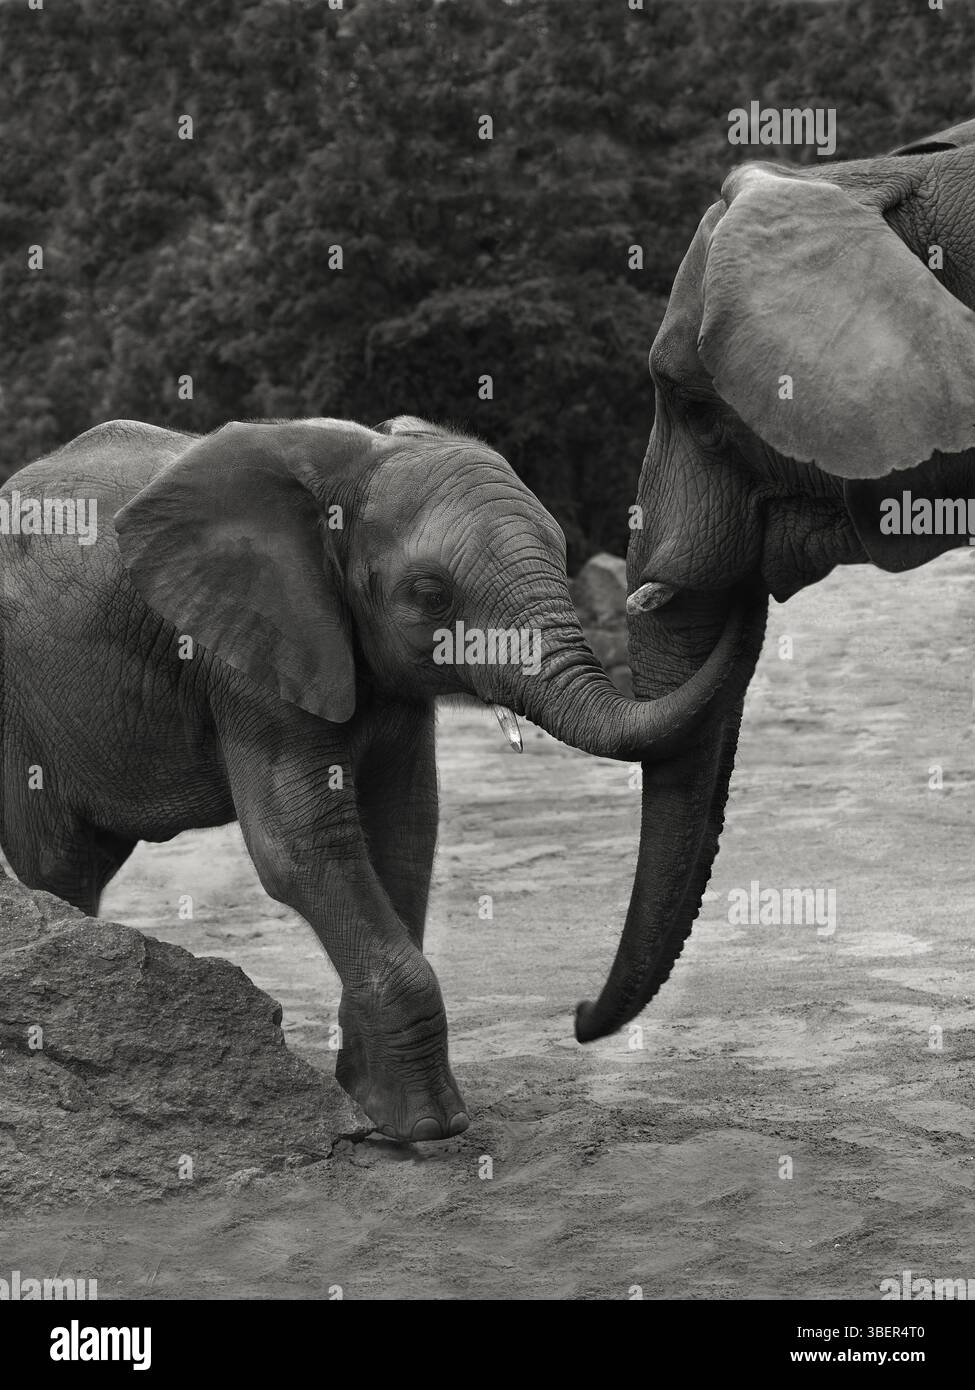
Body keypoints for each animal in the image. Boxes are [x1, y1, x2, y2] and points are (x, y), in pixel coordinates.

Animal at [0, 414, 745, 1142]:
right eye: (429, 594)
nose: (579, 1013)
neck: (356, 464)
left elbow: (406, 829)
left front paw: (374, 1109)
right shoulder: (252, 653)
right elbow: (301, 847)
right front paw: (427, 1130)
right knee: (58, 861)